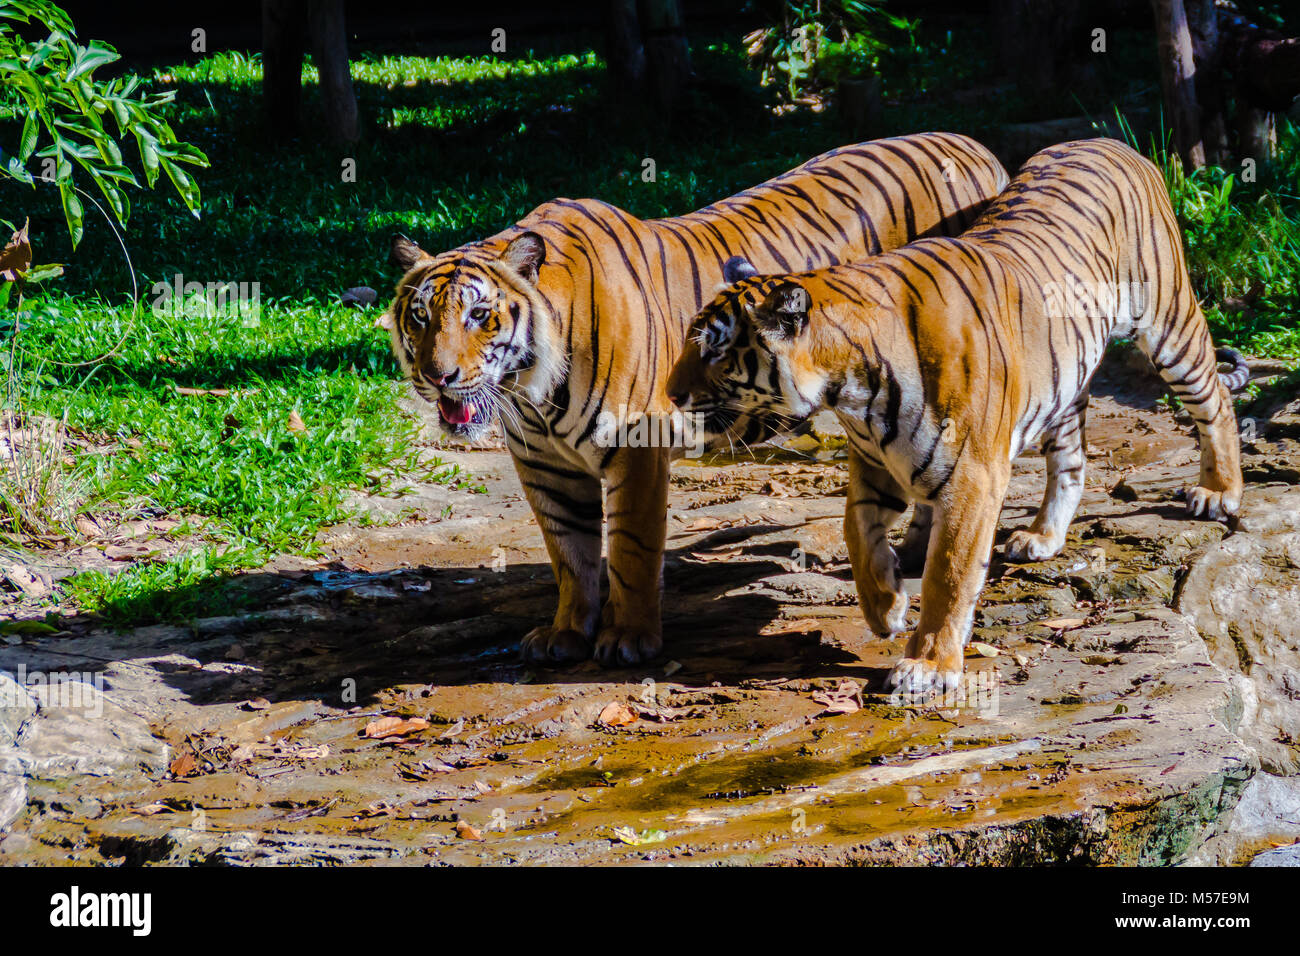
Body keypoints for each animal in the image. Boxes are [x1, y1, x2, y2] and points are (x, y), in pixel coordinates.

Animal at [382, 132, 1009, 667]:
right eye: (421, 318)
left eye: (478, 316)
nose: (438, 376)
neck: (531, 393)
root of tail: (976, 145)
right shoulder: (545, 466)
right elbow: (570, 554)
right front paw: (565, 632)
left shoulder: (634, 450)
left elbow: (630, 550)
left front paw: (627, 639)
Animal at [665, 138, 1247, 692]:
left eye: (715, 349)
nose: (671, 394)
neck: (849, 391)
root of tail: (1111, 142)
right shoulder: (873, 465)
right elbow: (855, 532)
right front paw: (885, 609)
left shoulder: (973, 475)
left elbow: (949, 573)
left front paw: (926, 666)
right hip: (1064, 383)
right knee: (1071, 461)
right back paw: (1043, 536)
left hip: (1168, 320)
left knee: (1215, 399)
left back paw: (1218, 492)